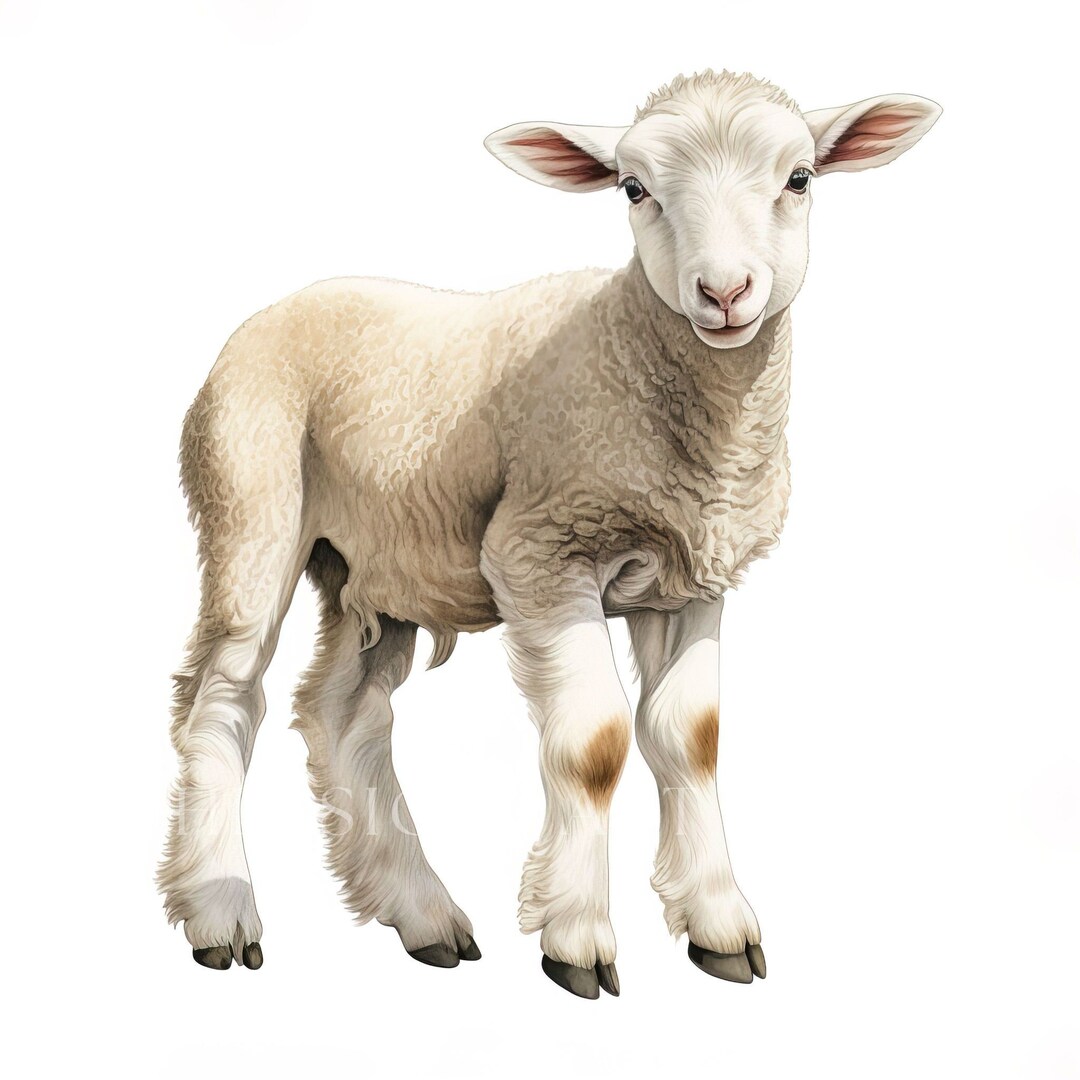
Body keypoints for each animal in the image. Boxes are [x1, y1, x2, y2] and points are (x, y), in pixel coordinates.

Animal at [158, 69, 940, 997]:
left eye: (799, 179)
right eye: (634, 189)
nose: (724, 292)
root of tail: (281, 306)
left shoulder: (690, 580)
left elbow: (692, 739)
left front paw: (719, 924)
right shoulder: (542, 554)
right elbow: (595, 745)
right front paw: (578, 938)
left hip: (372, 566)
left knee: (344, 716)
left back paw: (424, 916)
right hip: (251, 507)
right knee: (223, 701)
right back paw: (221, 910)